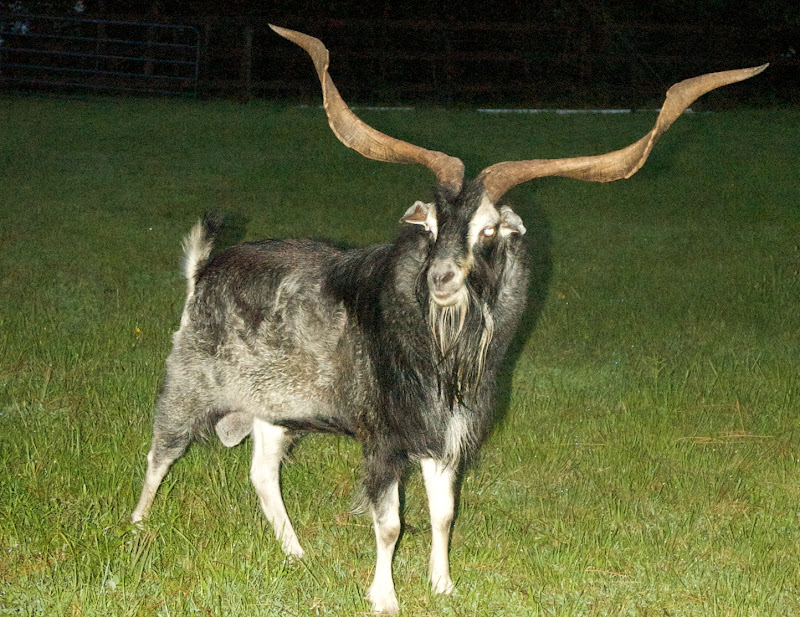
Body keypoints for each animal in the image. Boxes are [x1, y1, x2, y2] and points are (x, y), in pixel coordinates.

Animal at [131, 25, 766, 615]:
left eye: (488, 229)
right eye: (433, 225)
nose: (440, 278)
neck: (445, 353)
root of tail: (205, 269)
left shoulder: (445, 440)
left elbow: (444, 514)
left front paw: (444, 584)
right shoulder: (386, 438)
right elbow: (391, 523)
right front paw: (384, 597)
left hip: (273, 413)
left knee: (264, 476)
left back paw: (296, 551)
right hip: (187, 385)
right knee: (160, 453)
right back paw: (137, 523)